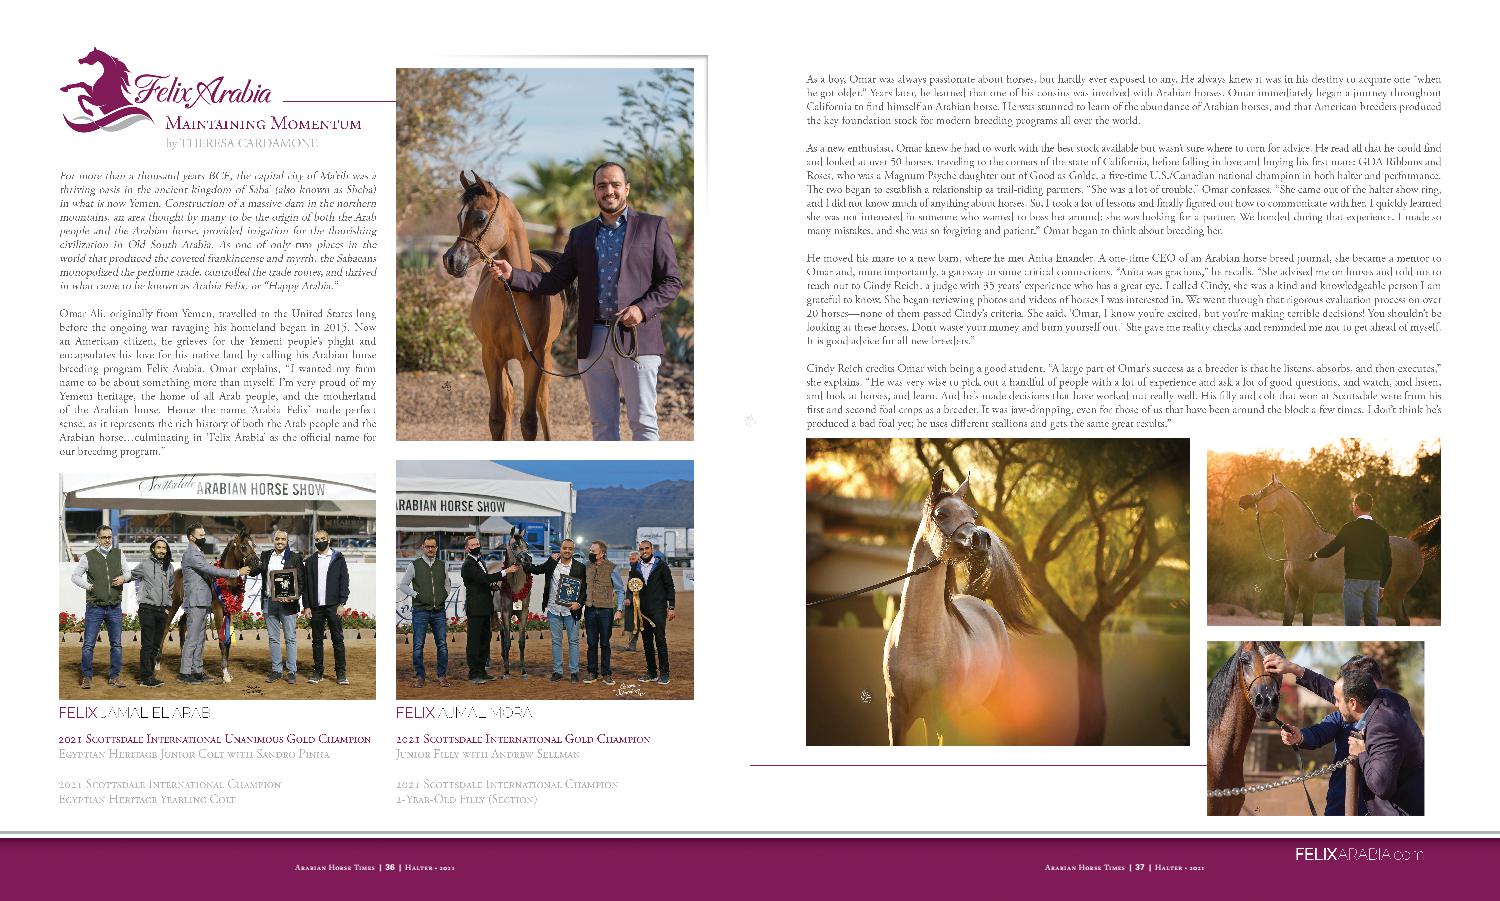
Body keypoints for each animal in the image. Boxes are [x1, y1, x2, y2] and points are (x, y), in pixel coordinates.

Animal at [442, 171, 572, 441]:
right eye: (459, 216)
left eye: (481, 217)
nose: (451, 259)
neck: (515, 296)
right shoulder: (491, 356)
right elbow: (497, 417)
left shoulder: (535, 358)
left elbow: (530, 420)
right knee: (509, 399)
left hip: (545, 358)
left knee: (543, 402)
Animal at [883, 470, 1037, 745]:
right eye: (941, 514)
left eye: (973, 515)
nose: (982, 539)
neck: (921, 637)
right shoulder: (897, 717)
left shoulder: (947, 718)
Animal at [1238, 474, 1433, 626]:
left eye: (1265, 490)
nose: (1242, 500)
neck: (1306, 546)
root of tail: (1414, 547)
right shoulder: (1291, 591)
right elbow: (1287, 621)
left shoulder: (1308, 592)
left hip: (1394, 595)